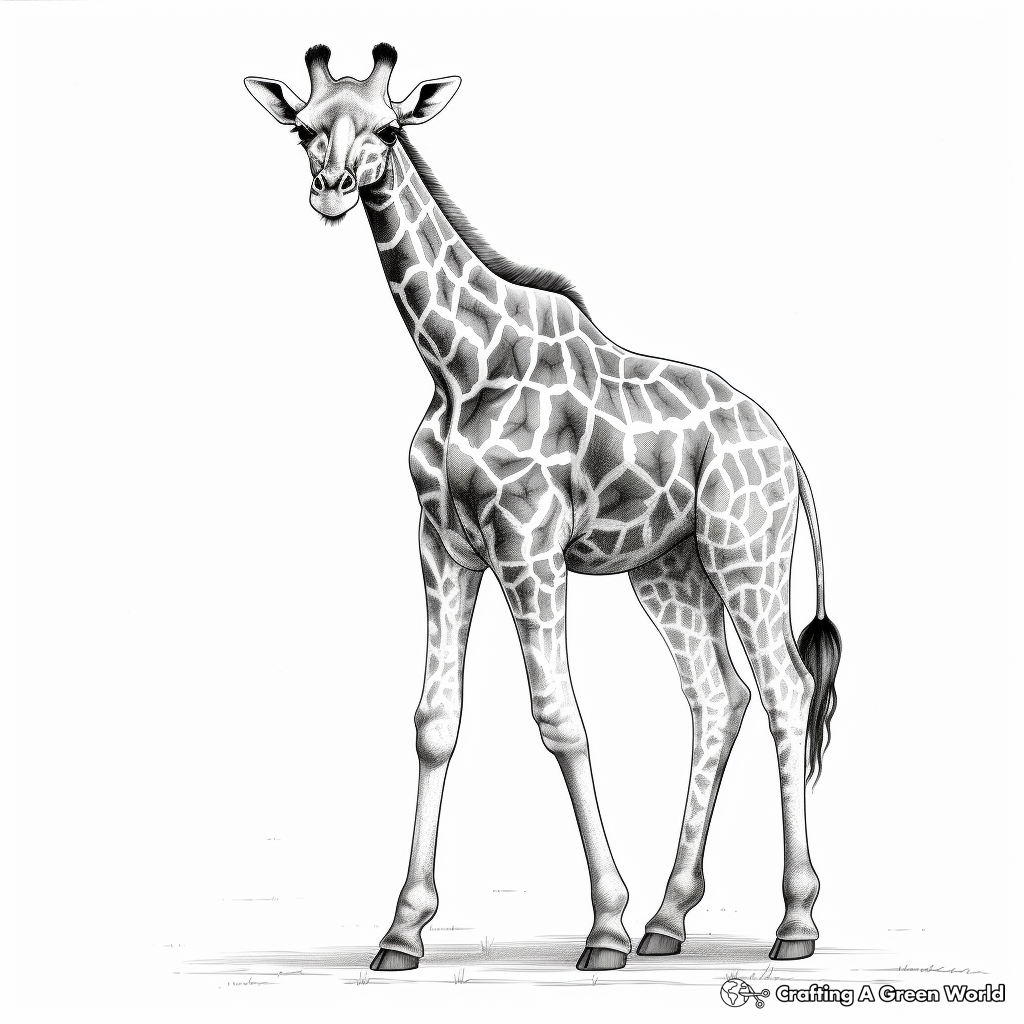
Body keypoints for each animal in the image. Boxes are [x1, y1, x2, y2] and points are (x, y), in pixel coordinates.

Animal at [245, 42, 843, 972]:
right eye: (304, 128)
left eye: (389, 128)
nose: (333, 188)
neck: (459, 368)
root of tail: (787, 450)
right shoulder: (442, 545)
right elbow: (434, 721)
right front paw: (402, 932)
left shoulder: (528, 547)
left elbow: (561, 718)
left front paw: (604, 927)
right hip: (669, 571)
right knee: (719, 697)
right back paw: (669, 920)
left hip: (745, 551)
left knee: (785, 687)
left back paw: (794, 923)